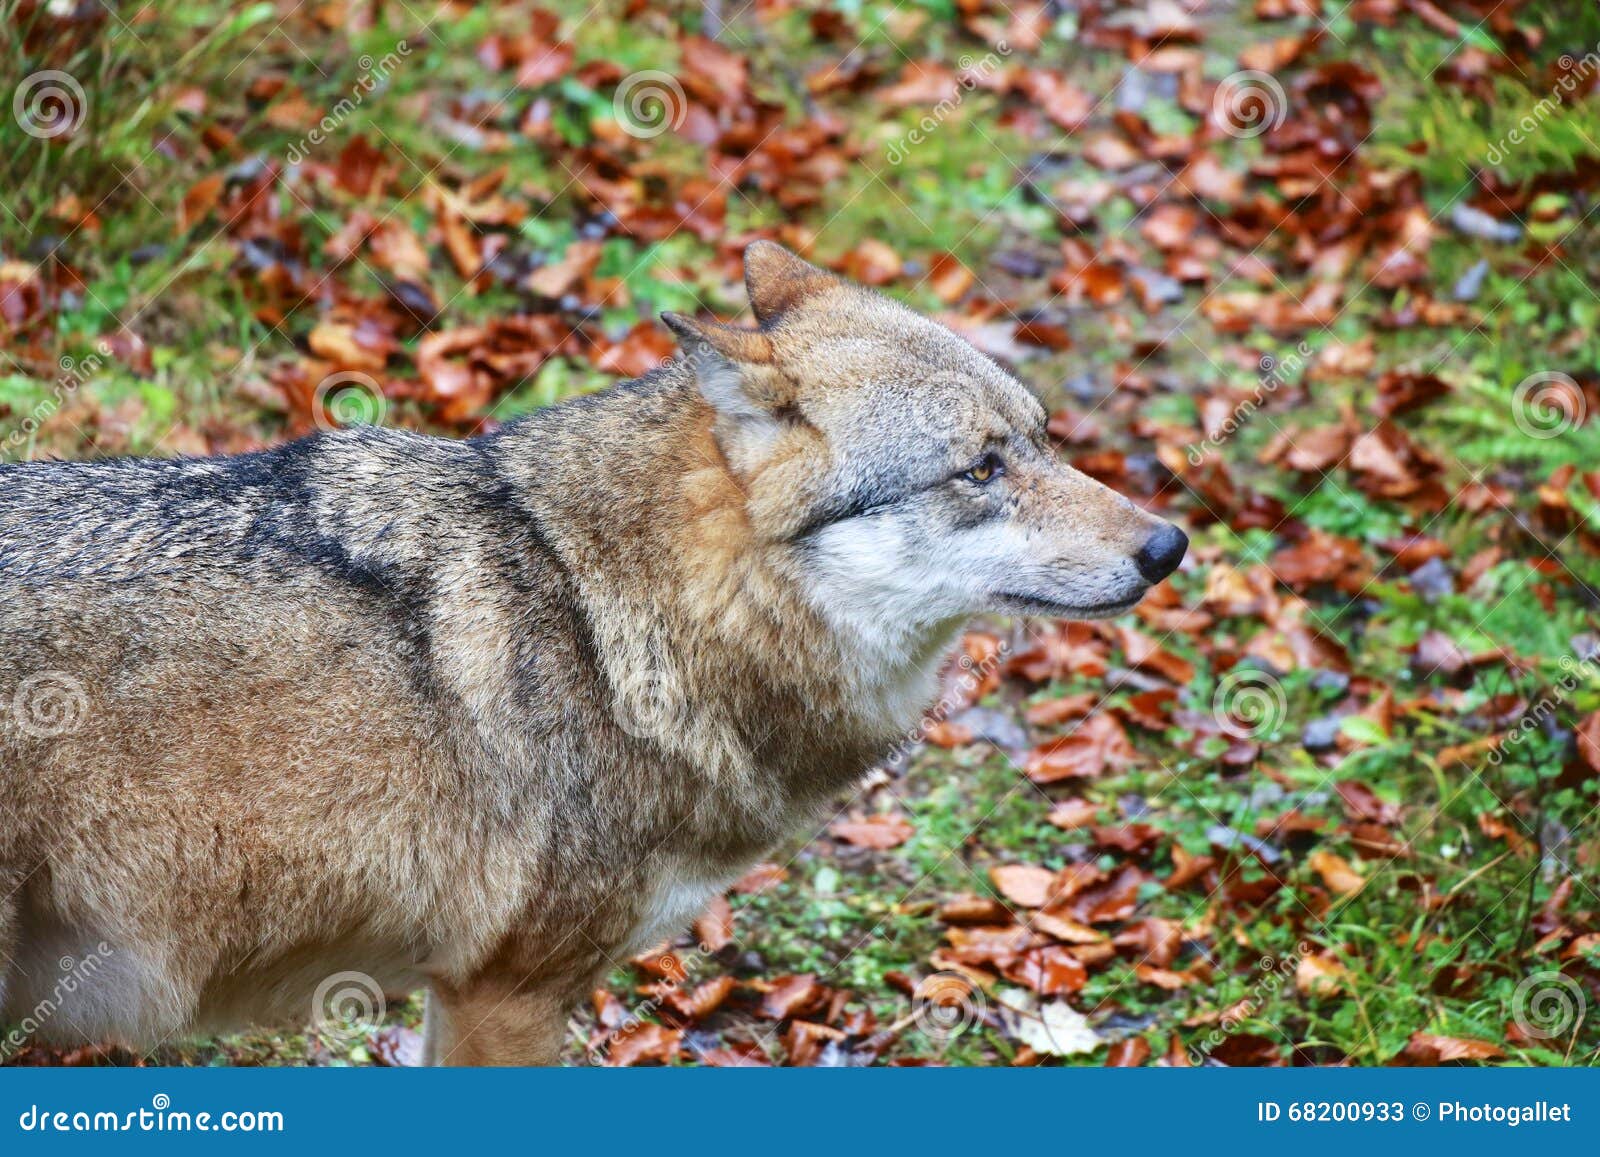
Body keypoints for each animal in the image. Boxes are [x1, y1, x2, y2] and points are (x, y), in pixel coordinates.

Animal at [0, 242, 1185, 1065]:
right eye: (977, 470)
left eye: (1042, 440)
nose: (1168, 544)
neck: (605, 616)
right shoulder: (509, 992)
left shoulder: (468, 992)